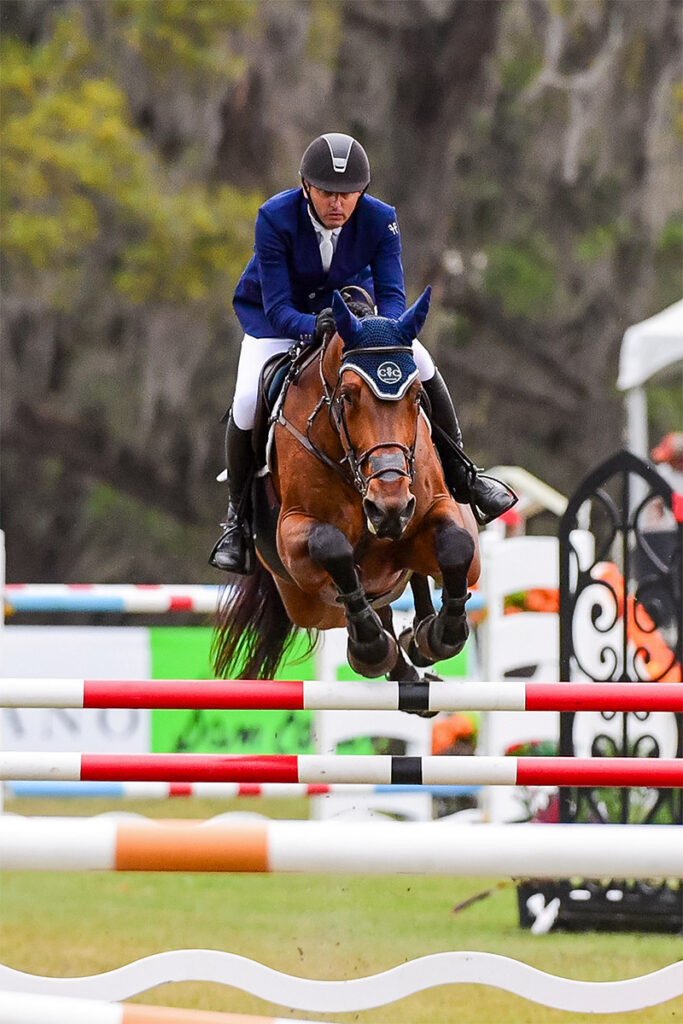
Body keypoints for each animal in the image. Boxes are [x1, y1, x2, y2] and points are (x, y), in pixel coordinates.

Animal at [212, 286, 480, 685]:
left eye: (418, 395)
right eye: (348, 396)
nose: (389, 506)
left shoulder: (437, 510)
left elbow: (456, 545)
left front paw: (442, 634)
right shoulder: (293, 537)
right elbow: (332, 546)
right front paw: (370, 647)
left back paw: (418, 641)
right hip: (306, 605)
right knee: (364, 604)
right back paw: (392, 656)